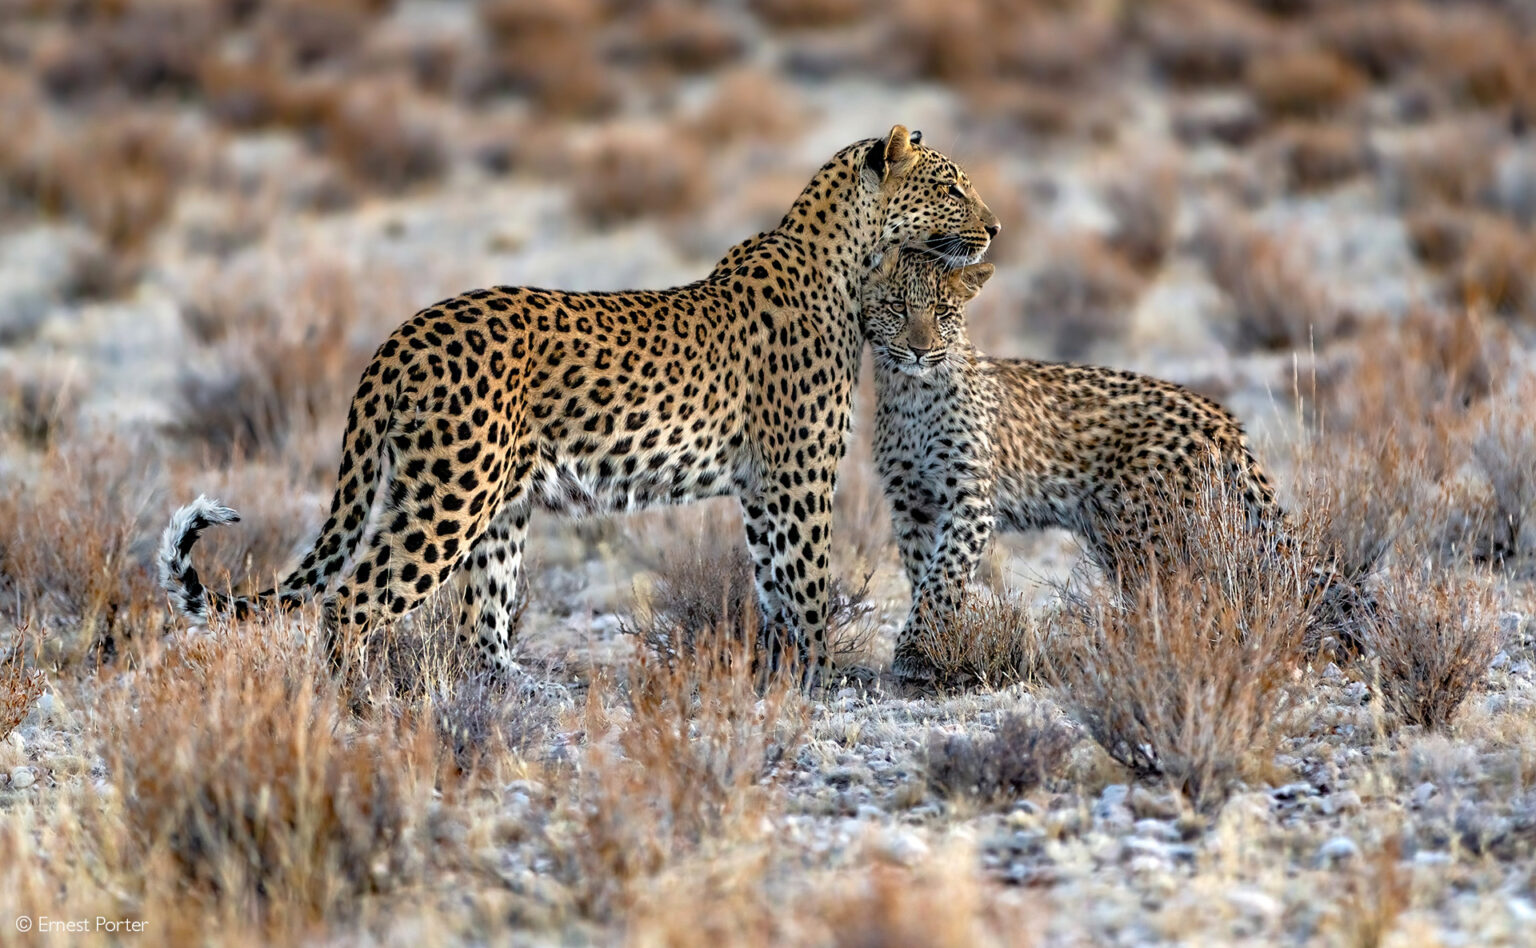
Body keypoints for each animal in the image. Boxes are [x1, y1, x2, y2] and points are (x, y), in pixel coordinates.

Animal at [158, 125, 1000, 684]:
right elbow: (808, 585)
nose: (993, 226)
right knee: (351, 601)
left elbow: (774, 589)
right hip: (447, 499)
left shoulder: (766, 488)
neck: (846, 257)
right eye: (952, 185)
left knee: (479, 617)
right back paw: (356, 706)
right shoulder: (798, 481)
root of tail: (402, 333)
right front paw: (822, 678)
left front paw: (779, 676)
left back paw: (514, 689)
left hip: (495, 506)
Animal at [862, 249, 1362, 681]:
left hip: (1149, 534)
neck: (910, 392)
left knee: (1195, 596)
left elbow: (942, 575)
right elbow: (924, 572)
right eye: (897, 307)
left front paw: (917, 650)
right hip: (1118, 536)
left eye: (943, 312)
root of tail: (1215, 413)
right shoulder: (911, 503)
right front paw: (937, 642)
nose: (920, 349)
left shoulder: (969, 500)